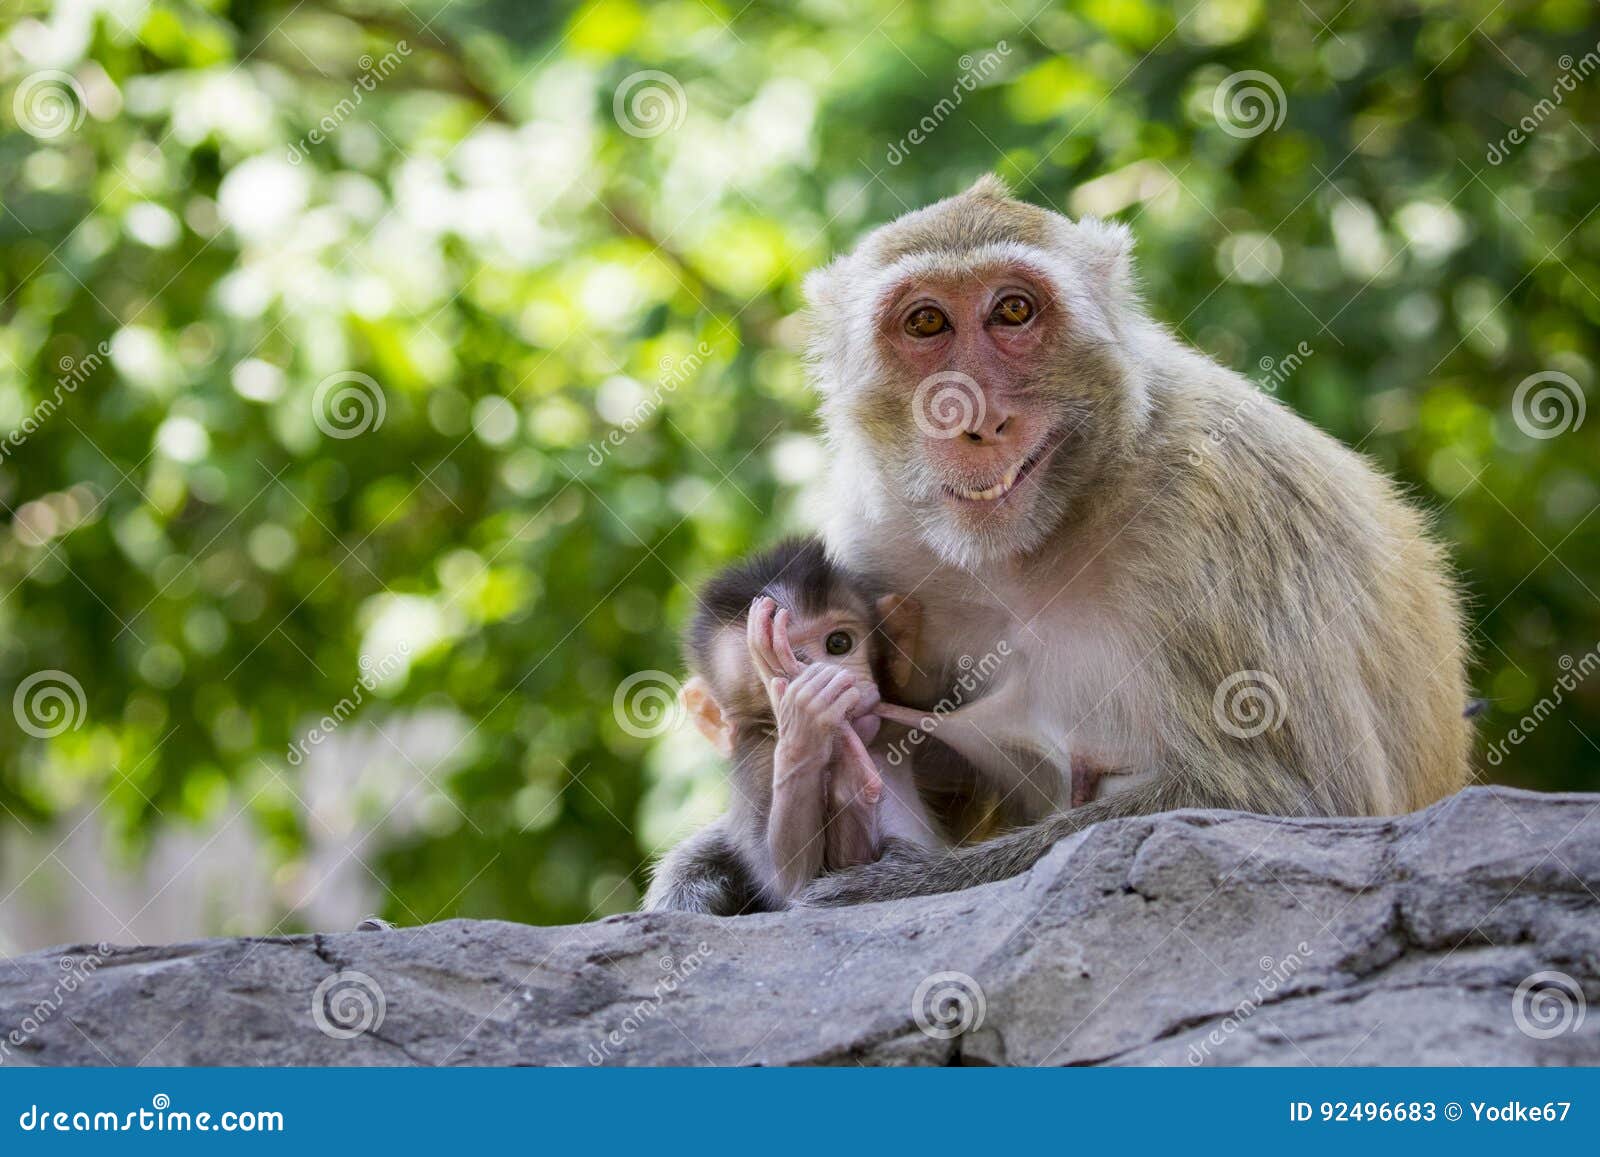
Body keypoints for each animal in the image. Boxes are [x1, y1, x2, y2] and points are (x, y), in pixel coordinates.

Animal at [642, 538, 945, 915]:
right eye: (775, 674)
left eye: (839, 643)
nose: (839, 684)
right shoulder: (757, 757)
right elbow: (789, 879)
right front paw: (810, 731)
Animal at [783, 174, 1473, 907]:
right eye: (926, 323)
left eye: (1014, 311)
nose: (972, 413)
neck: (1028, 551)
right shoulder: (875, 547)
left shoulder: (1215, 503)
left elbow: (1306, 804)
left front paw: (884, 885)